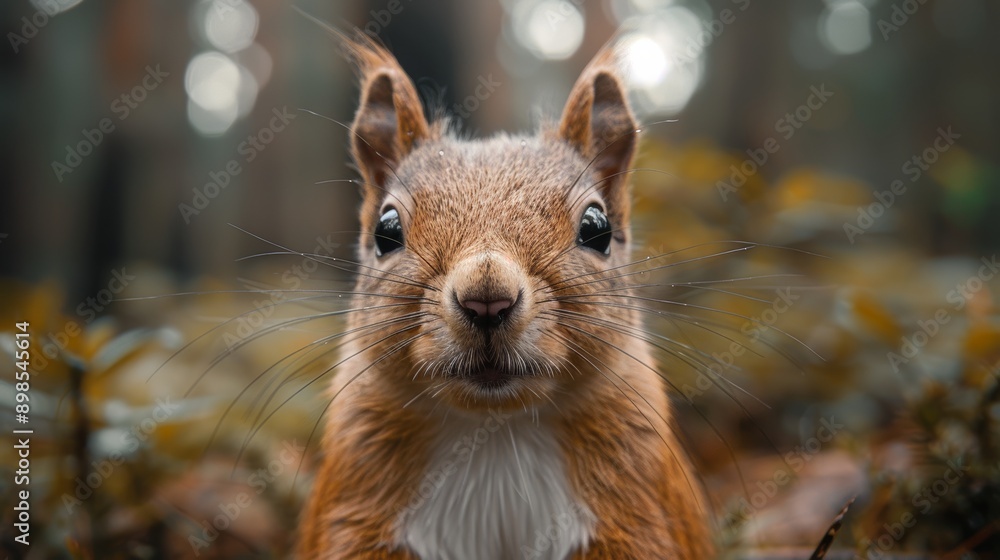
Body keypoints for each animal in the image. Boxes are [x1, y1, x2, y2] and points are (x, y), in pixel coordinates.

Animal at [296, 33, 714, 559]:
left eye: (597, 228)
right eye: (385, 231)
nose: (486, 299)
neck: (495, 432)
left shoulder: (639, 514)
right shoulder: (353, 513)